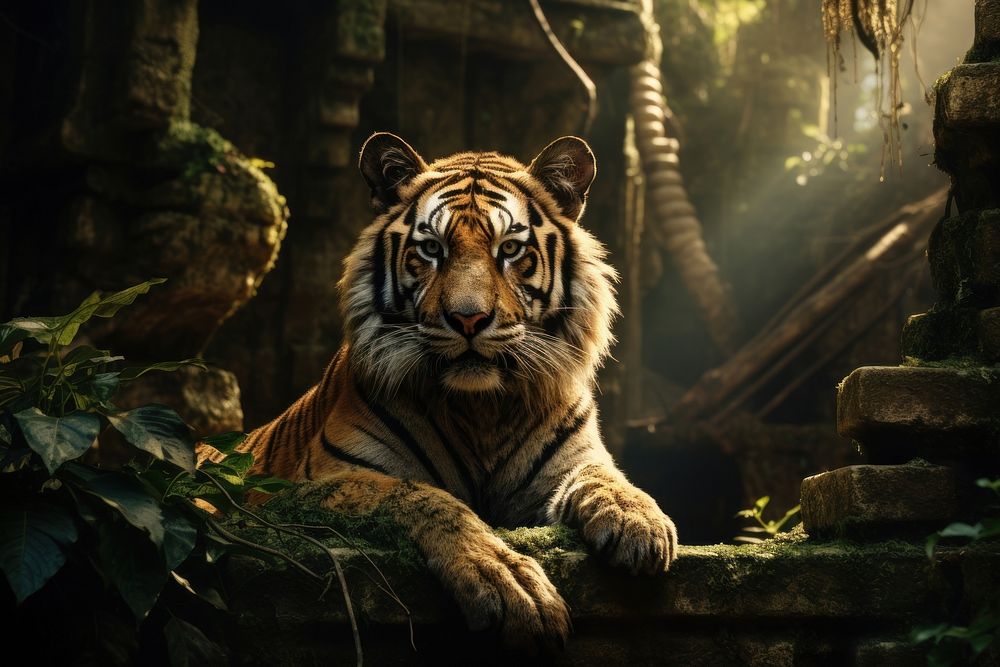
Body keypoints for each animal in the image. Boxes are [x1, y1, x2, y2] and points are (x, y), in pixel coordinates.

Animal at [219, 132, 678, 652]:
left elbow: (605, 478)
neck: (482, 409)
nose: (468, 318)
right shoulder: (307, 487)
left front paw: (638, 521)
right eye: (432, 249)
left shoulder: (571, 463)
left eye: (510, 248)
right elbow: (422, 497)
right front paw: (508, 583)